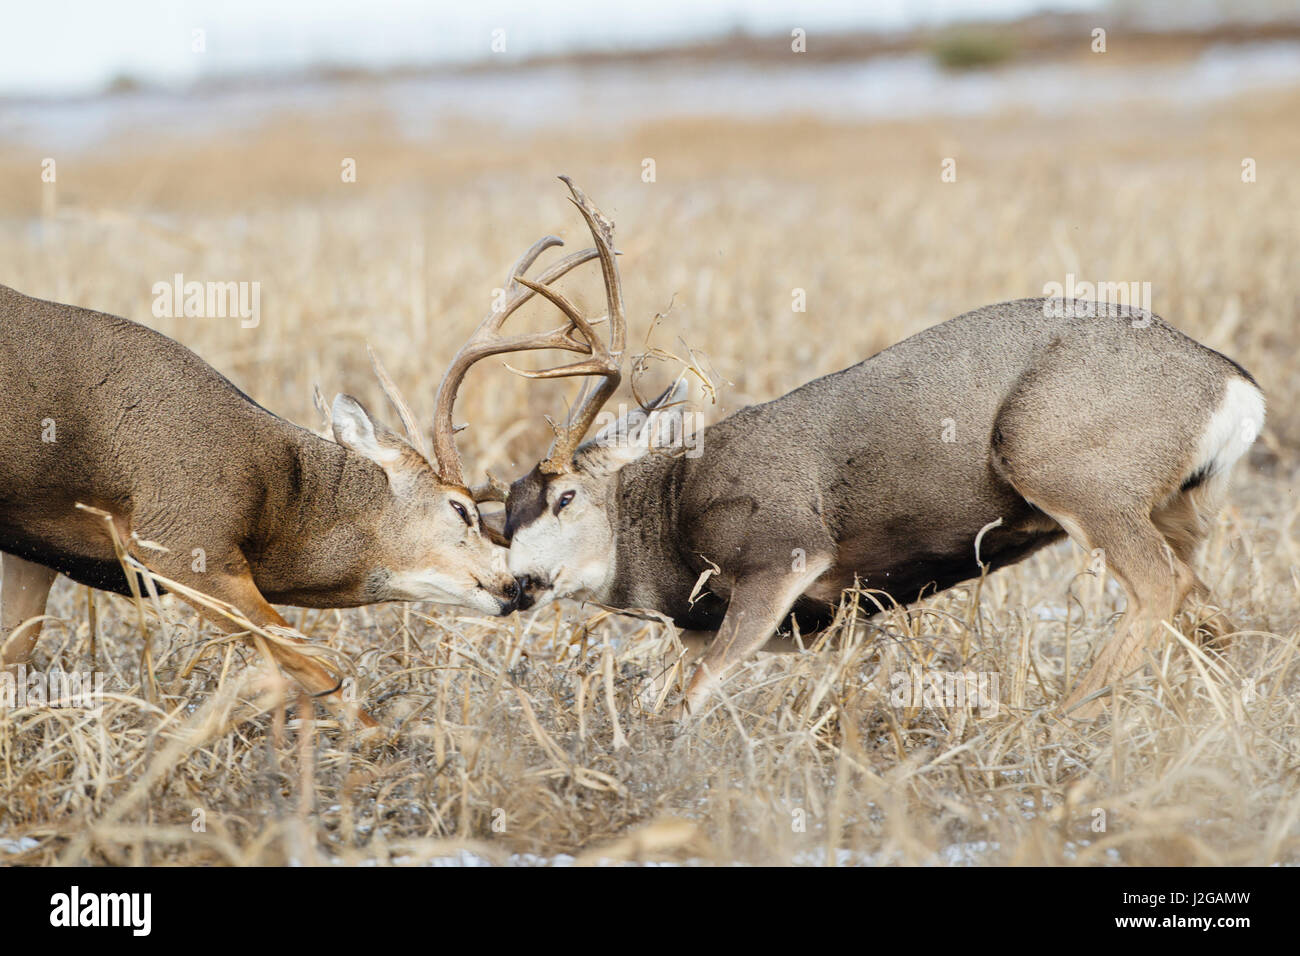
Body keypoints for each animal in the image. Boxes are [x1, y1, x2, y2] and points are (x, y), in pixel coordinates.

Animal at [0, 282, 521, 728]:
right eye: (460, 509)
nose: (513, 587)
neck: (276, 496)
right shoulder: (183, 540)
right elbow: (312, 664)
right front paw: (378, 739)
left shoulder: (35, 550)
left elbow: (13, 660)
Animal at [448, 176, 1265, 720]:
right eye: (496, 523)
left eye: (565, 495)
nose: (516, 586)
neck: (669, 526)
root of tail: (1231, 382)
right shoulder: (835, 625)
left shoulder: (783, 555)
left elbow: (692, 694)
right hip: (1177, 503)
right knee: (1208, 604)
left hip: (1065, 465)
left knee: (1162, 587)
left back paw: (1063, 714)